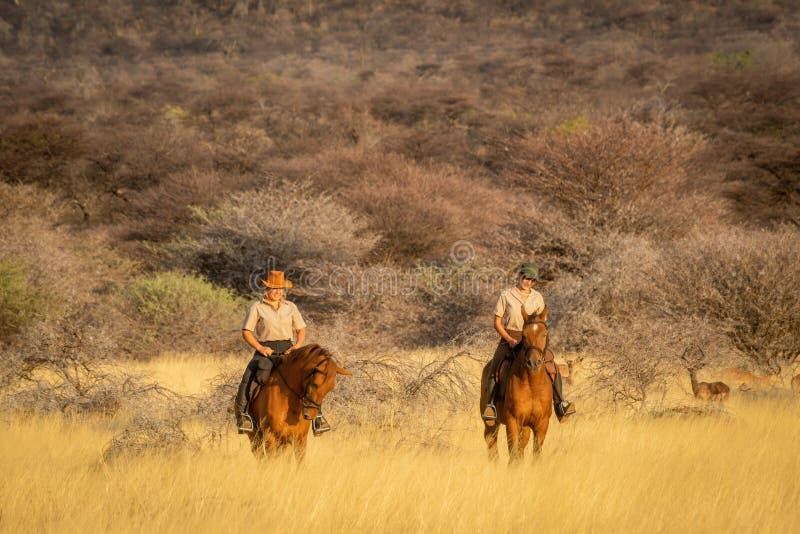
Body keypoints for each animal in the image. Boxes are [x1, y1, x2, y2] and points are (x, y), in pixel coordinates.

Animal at [480, 306, 554, 464]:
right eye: (524, 335)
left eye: (544, 334)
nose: (533, 363)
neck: (533, 385)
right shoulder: (513, 421)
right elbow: (513, 453)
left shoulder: (541, 424)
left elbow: (535, 453)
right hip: (491, 422)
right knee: (491, 442)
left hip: (525, 427)